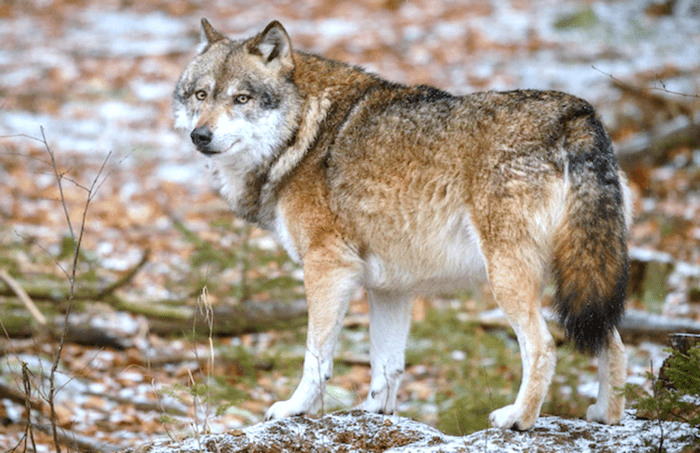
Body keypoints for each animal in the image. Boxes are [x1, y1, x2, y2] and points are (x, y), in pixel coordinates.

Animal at [173, 19, 631, 430]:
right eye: (201, 94)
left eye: (242, 98)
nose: (200, 136)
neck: (304, 132)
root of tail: (576, 113)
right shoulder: (390, 288)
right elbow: (387, 363)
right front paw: (375, 413)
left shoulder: (327, 268)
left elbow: (316, 356)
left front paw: (294, 408)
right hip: (581, 271)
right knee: (611, 338)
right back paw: (606, 415)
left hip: (510, 277)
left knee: (545, 346)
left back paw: (519, 418)